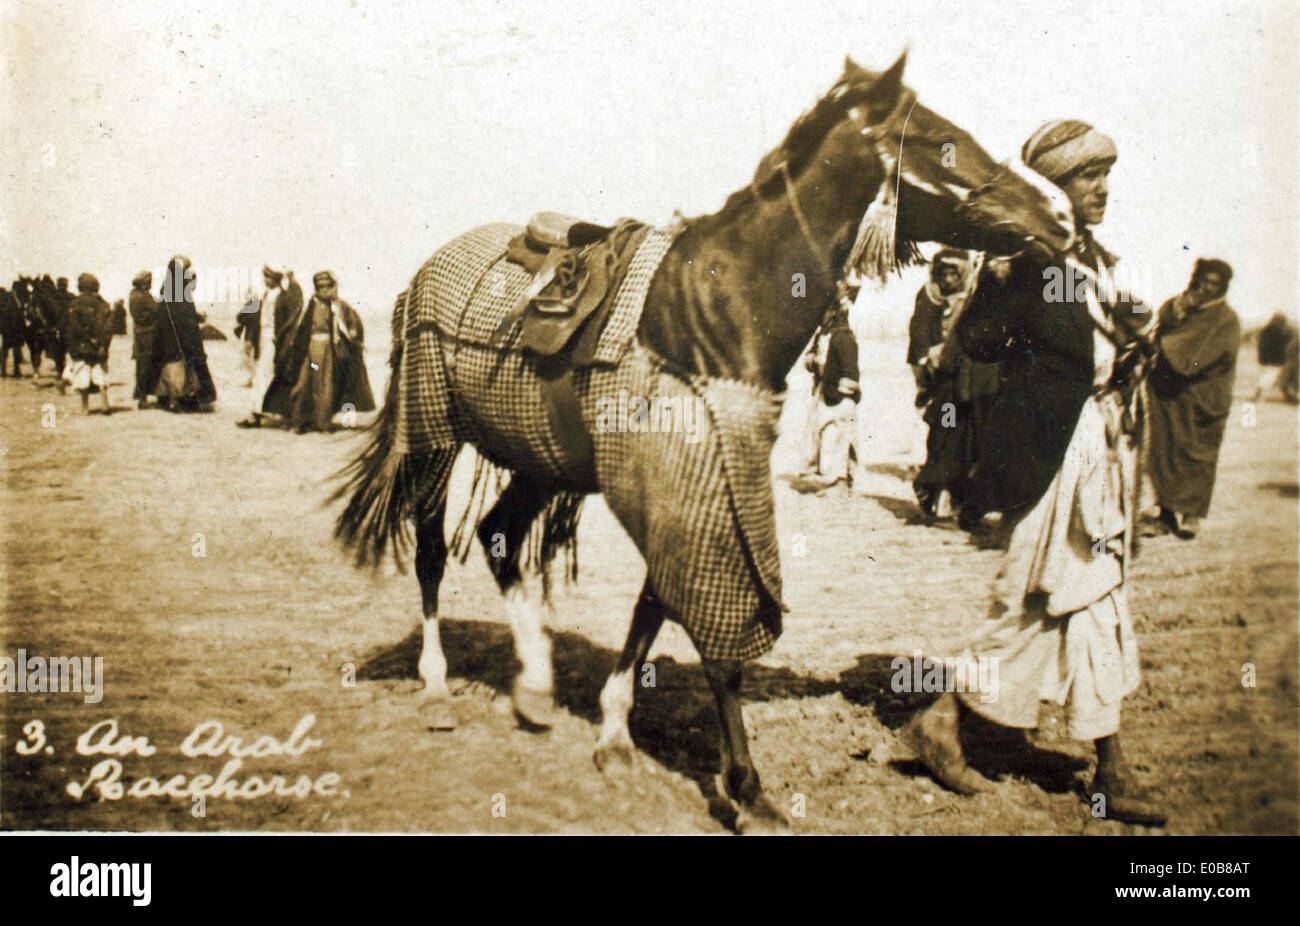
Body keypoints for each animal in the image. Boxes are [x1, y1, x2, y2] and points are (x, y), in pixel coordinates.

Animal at [335, 53, 1076, 832]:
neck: (716, 305)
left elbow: (654, 606)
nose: (1057, 218)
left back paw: (534, 687)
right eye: (944, 143)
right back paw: (437, 685)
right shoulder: (686, 489)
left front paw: (613, 732)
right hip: (433, 437)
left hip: (540, 459)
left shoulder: (704, 482)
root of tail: (428, 271)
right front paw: (748, 789)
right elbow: (715, 641)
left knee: (496, 537)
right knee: (428, 552)